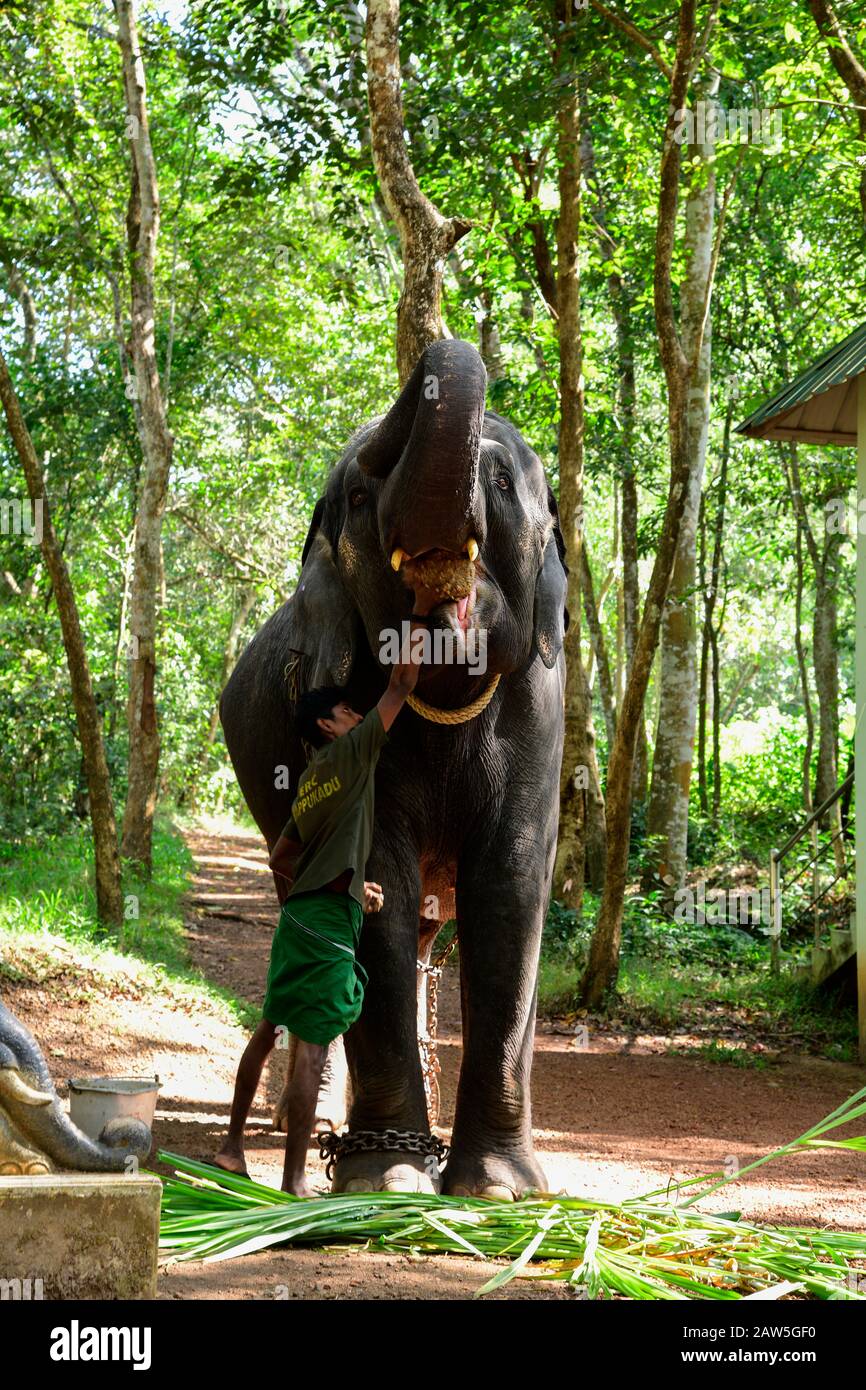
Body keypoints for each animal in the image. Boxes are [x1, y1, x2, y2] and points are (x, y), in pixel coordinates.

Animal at [220, 338, 568, 1198]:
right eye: (352, 497)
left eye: (502, 481)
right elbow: (374, 879)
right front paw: (385, 1182)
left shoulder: (542, 709)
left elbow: (511, 885)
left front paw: (500, 1189)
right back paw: (303, 1136)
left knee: (425, 939)